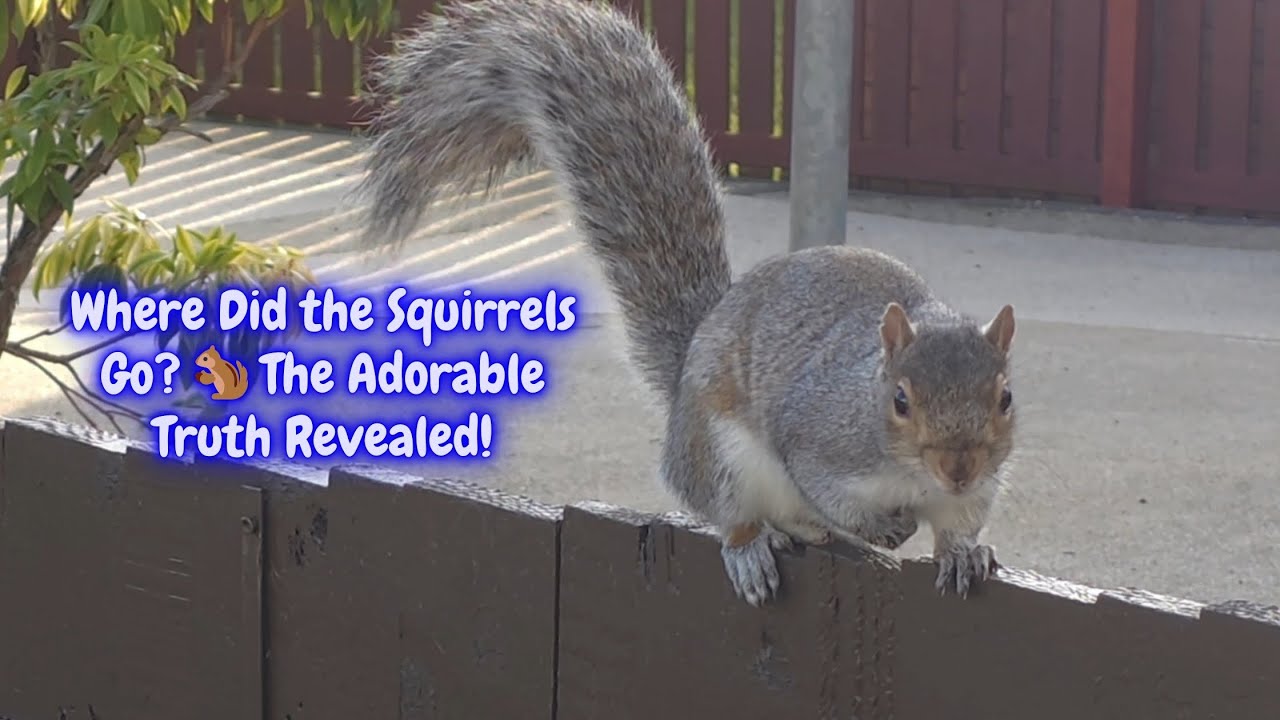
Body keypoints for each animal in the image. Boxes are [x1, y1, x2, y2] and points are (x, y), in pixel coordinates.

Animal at [355, 0, 1017, 606]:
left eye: (1005, 398)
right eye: (900, 400)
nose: (958, 467)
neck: (917, 479)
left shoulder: (978, 491)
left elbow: (959, 527)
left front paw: (963, 553)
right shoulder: (820, 440)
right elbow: (826, 487)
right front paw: (881, 528)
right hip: (720, 452)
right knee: (737, 512)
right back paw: (754, 549)